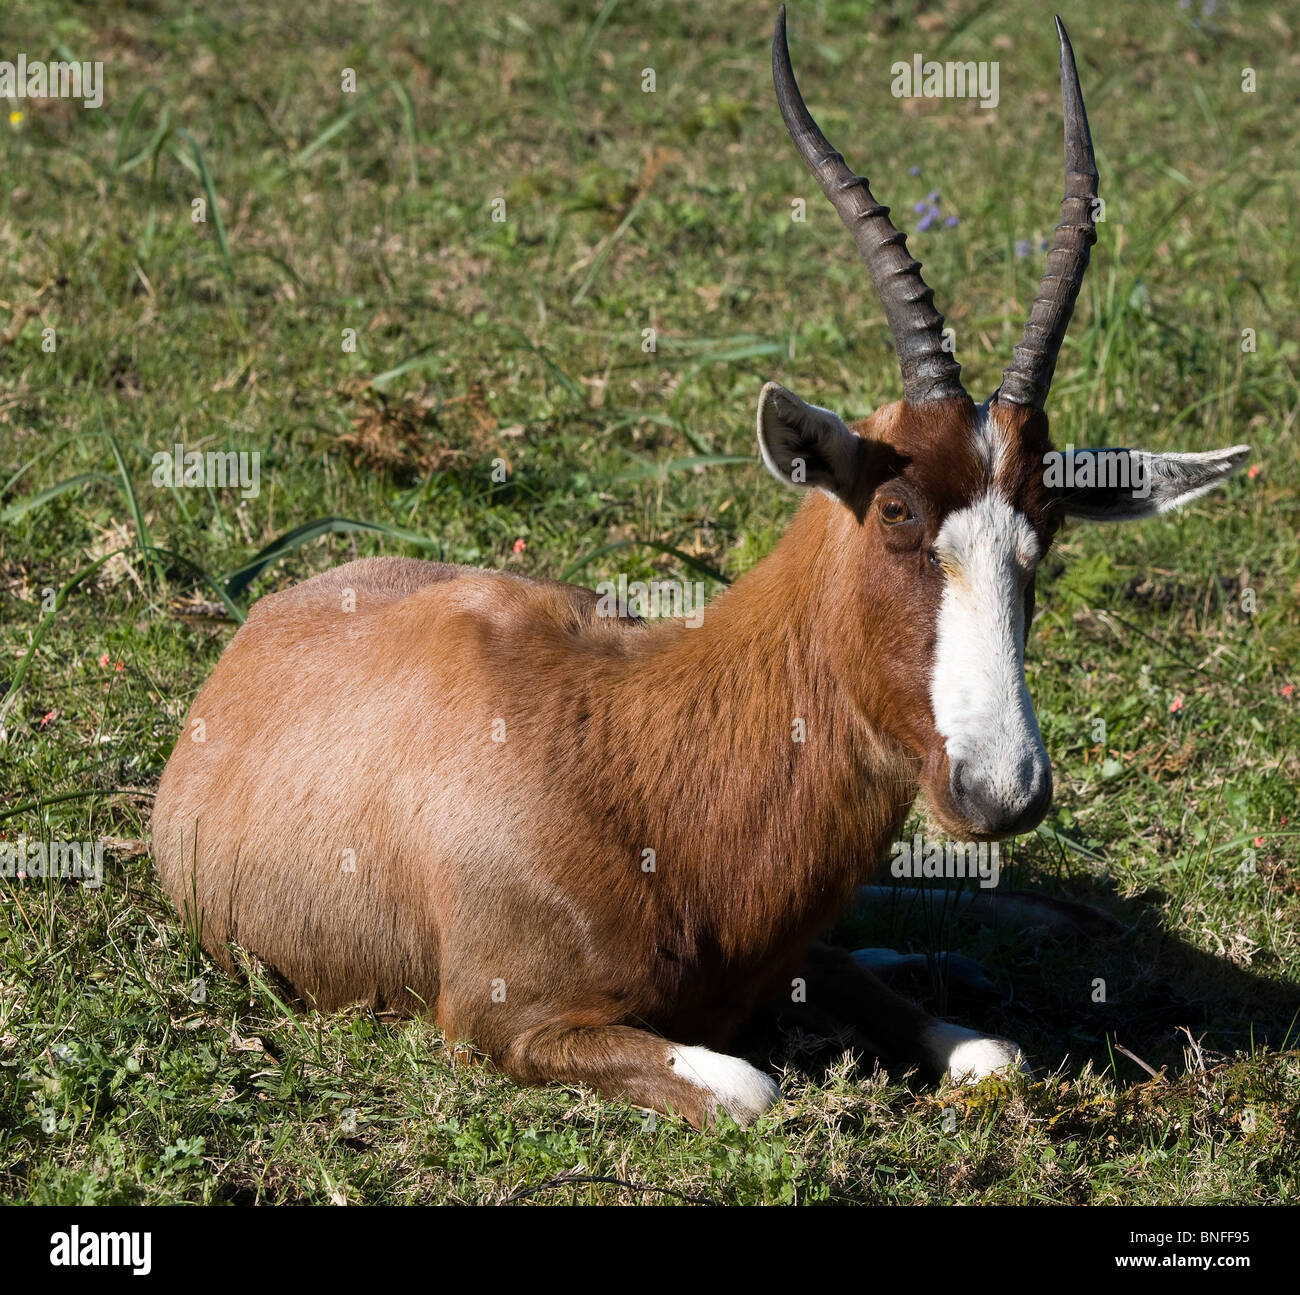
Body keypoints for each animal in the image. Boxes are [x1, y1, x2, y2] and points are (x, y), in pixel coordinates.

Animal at [152, 9, 1249, 1128]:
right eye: (896, 508)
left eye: (1047, 525)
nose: (1002, 788)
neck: (644, 757)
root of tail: (274, 615)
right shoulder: (508, 1022)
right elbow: (752, 1086)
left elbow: (991, 1054)